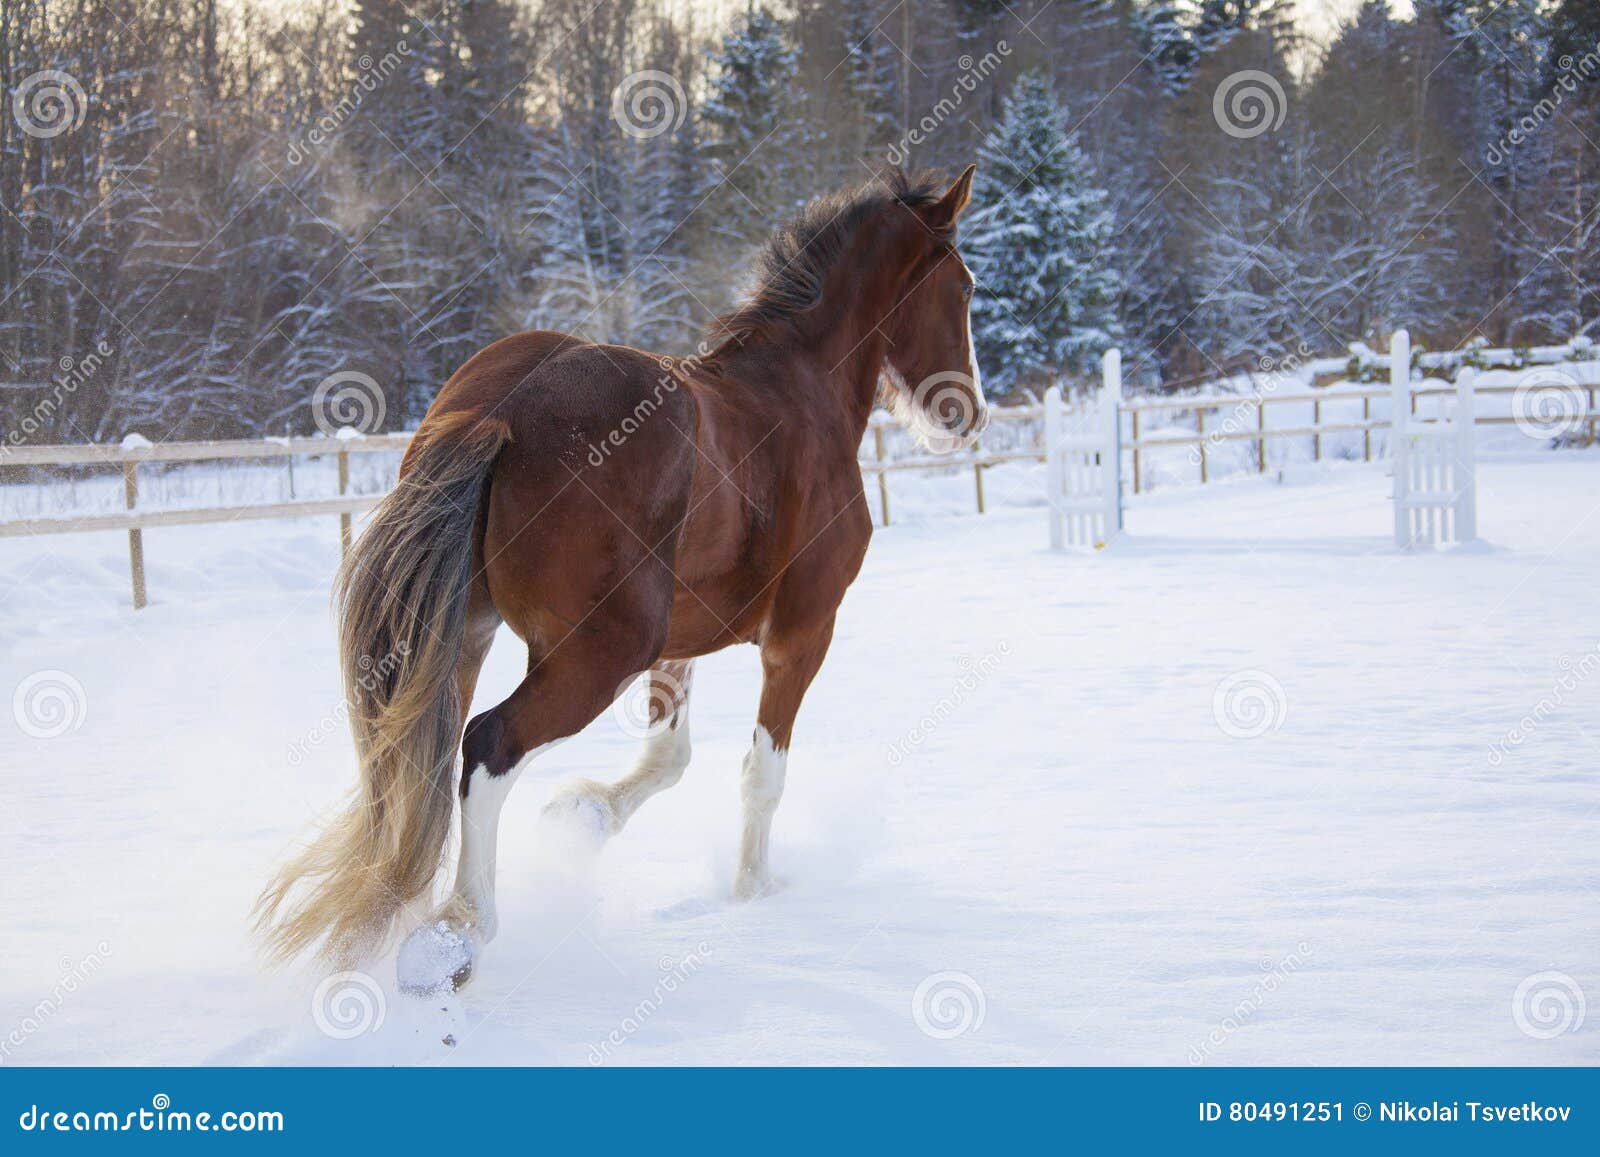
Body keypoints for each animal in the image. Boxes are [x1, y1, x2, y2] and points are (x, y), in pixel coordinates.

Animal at [256, 165, 988, 993]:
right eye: (964, 286)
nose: (967, 413)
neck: (800, 396)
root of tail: (502, 411)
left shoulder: (683, 642)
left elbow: (670, 757)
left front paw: (582, 817)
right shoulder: (801, 635)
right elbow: (761, 773)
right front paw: (753, 894)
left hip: (463, 641)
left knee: (419, 759)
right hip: (600, 653)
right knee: (486, 744)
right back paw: (455, 934)